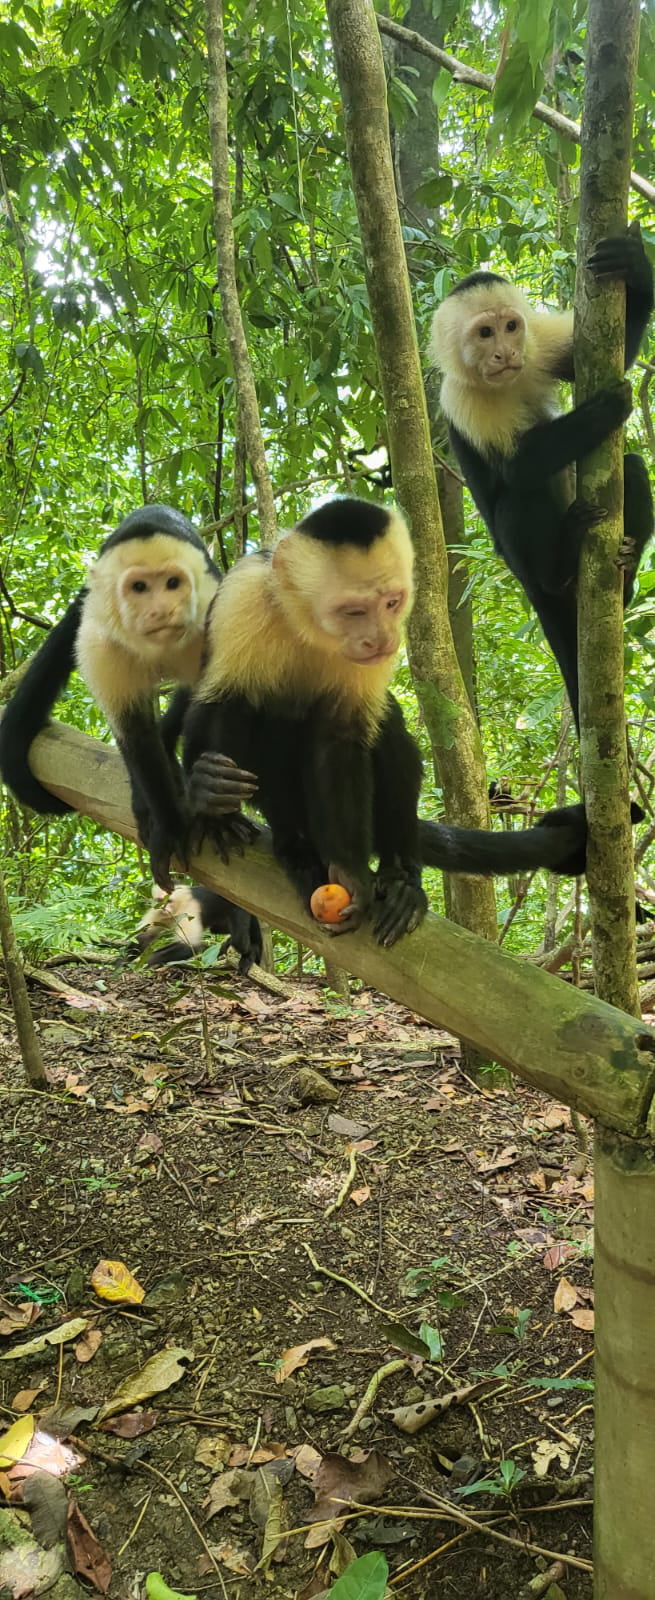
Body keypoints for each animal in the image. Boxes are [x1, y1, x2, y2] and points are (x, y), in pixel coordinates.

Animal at [0, 505, 257, 888]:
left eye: (172, 584)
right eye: (139, 587)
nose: (162, 610)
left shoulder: (213, 614)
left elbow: (214, 699)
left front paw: (215, 812)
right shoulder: (100, 644)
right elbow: (133, 732)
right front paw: (169, 826)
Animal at [130, 882, 263, 974]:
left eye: (169, 901)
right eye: (160, 901)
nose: (165, 909)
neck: (178, 906)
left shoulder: (190, 909)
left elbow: (189, 946)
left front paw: (146, 962)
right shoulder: (157, 911)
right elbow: (143, 938)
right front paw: (125, 963)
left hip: (240, 909)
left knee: (239, 941)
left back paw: (250, 953)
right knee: (217, 929)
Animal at [175, 495, 599, 949]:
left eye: (392, 603)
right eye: (354, 610)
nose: (380, 638)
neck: (308, 627)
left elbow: (342, 736)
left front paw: (350, 874)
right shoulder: (244, 597)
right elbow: (225, 704)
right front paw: (214, 802)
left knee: (389, 732)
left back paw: (401, 881)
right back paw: (297, 848)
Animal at [428, 229, 654, 726]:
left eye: (512, 327)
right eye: (485, 333)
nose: (506, 353)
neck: (504, 381)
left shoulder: (538, 346)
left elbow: (606, 353)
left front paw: (633, 264)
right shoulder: (461, 399)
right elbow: (519, 468)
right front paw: (601, 410)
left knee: (630, 466)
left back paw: (627, 572)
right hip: (518, 561)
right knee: (519, 502)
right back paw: (560, 566)